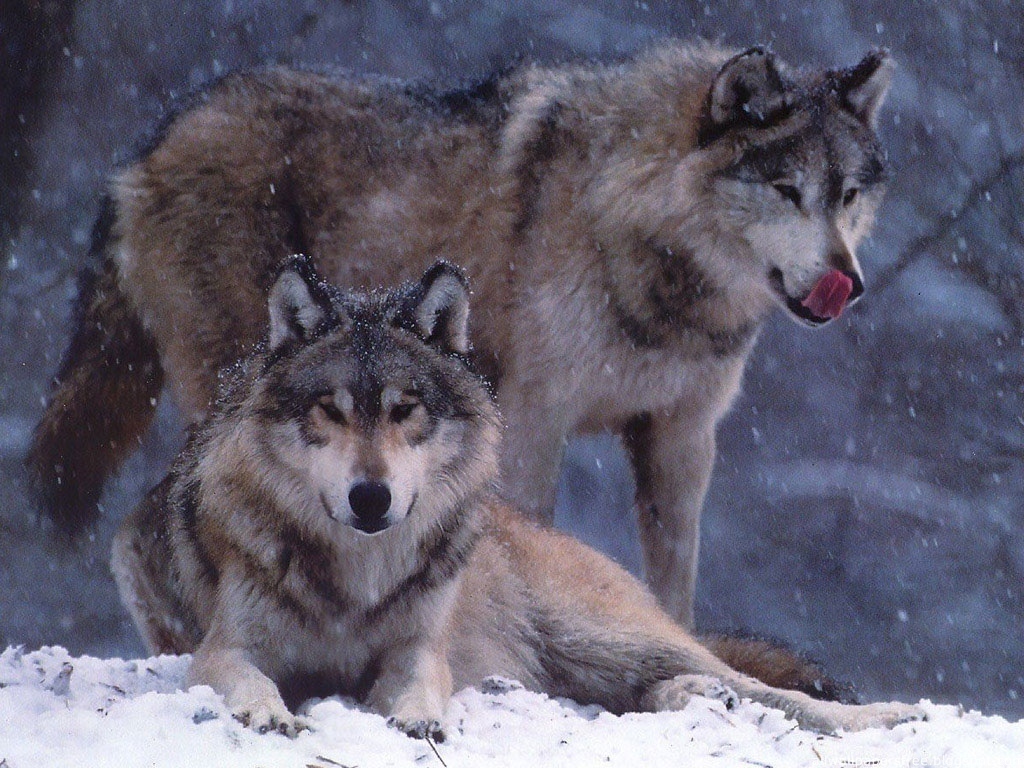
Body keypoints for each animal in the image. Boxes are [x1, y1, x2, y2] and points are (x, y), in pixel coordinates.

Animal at [33, 40, 895, 627]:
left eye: (847, 195)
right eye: (787, 190)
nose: (846, 282)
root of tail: (147, 147)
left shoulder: (681, 436)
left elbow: (675, 583)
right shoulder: (537, 420)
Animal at [110, 258, 922, 739]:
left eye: (406, 410)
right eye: (331, 411)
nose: (370, 498)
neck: (355, 576)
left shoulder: (419, 651)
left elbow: (418, 687)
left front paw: (417, 723)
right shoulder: (222, 648)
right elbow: (244, 678)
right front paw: (266, 710)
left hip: (602, 636)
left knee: (761, 684)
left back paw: (887, 712)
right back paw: (697, 700)